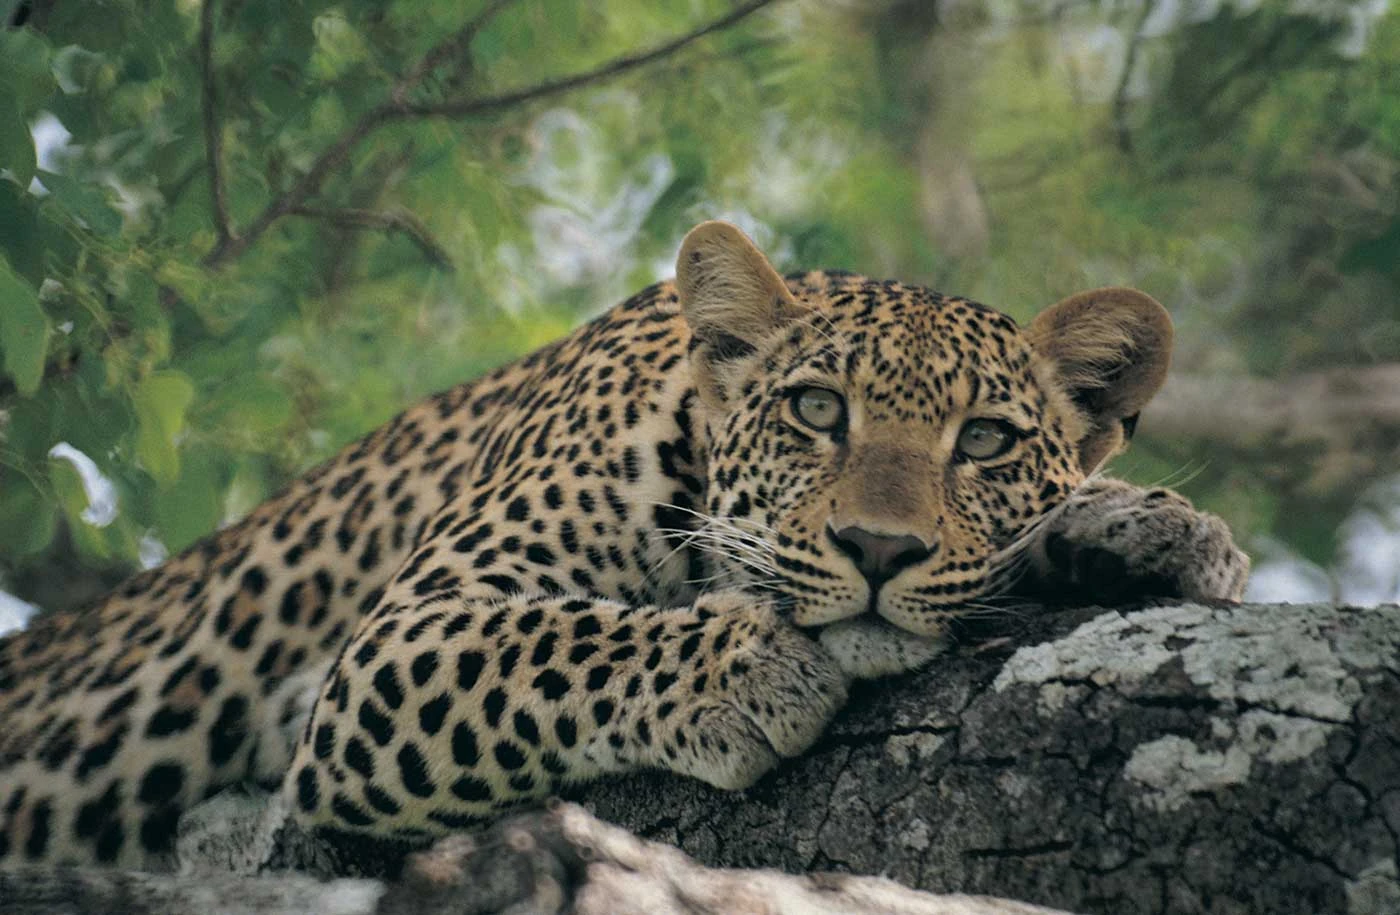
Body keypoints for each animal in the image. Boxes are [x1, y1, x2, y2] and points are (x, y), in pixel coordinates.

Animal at [0, 221, 1249, 870]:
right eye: (815, 411)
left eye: (983, 440)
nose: (876, 550)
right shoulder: (394, 644)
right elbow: (551, 642)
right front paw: (741, 669)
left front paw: (1151, 526)